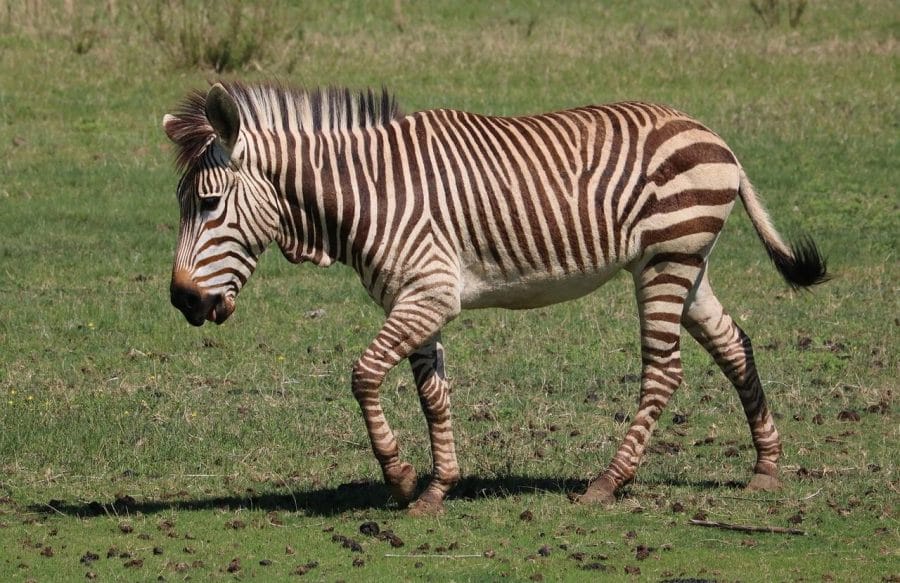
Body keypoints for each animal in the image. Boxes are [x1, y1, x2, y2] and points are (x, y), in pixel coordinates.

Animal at [163, 82, 827, 515]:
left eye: (210, 204)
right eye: (183, 204)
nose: (181, 300)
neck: (367, 195)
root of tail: (715, 137)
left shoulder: (430, 293)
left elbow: (363, 374)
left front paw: (400, 477)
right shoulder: (416, 298)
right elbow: (432, 394)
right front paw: (437, 488)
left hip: (668, 260)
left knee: (663, 371)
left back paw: (608, 483)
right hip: (684, 262)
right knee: (734, 344)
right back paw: (766, 468)